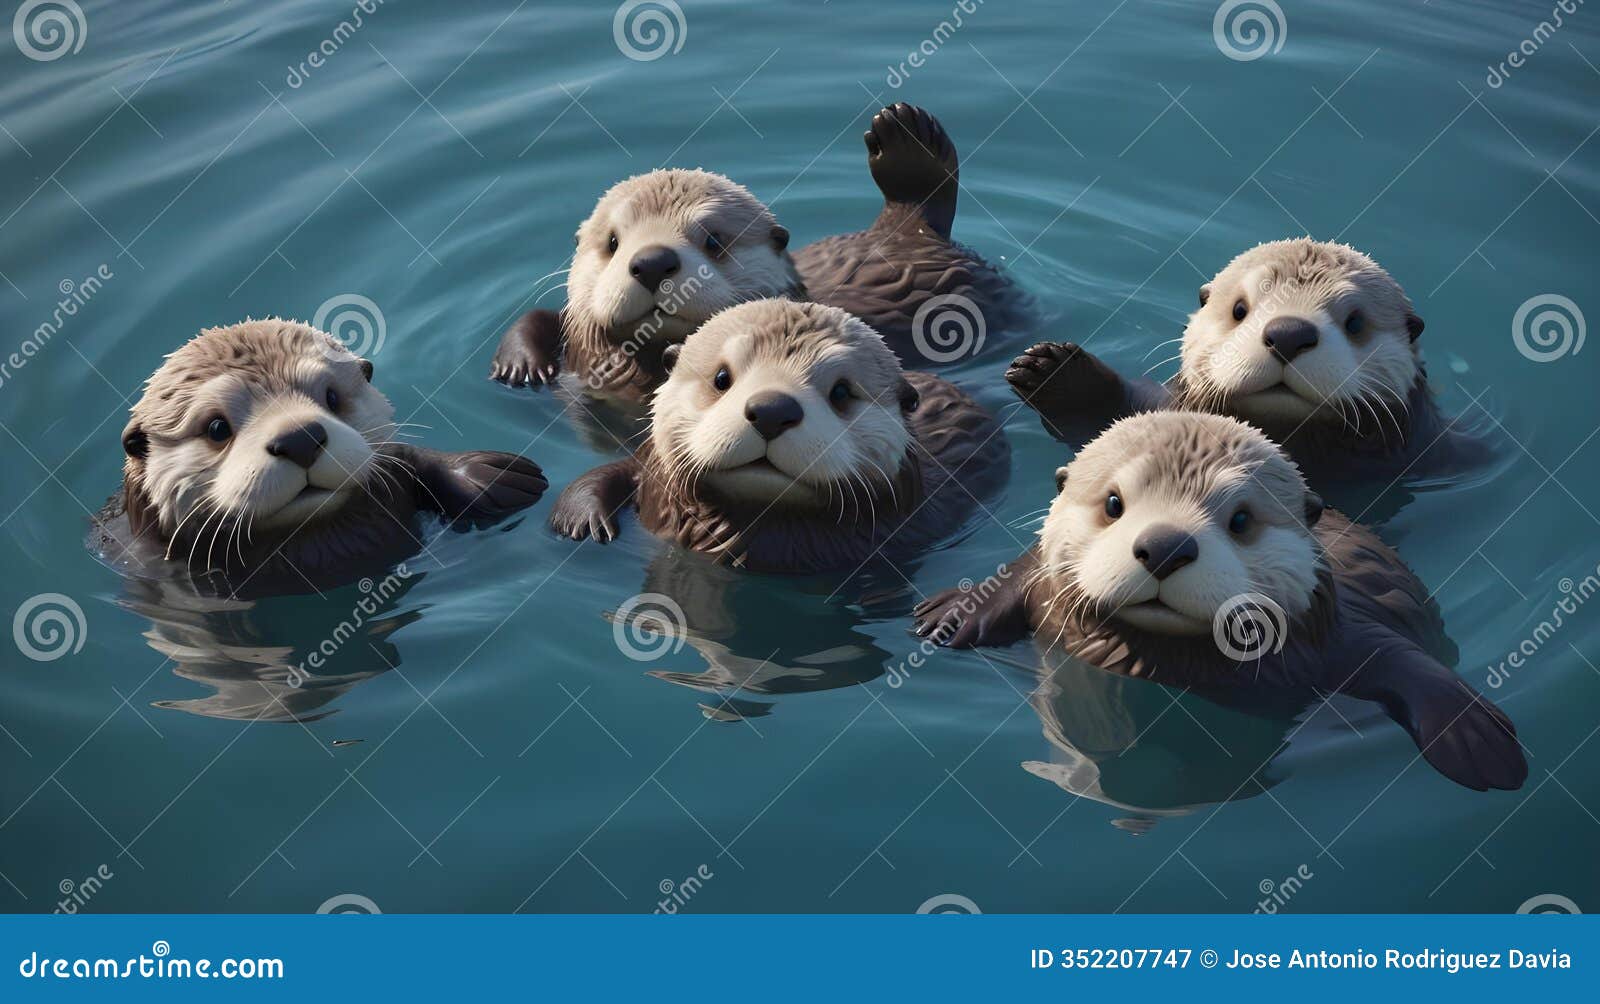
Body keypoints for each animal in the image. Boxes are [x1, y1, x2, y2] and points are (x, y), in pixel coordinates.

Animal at [489, 102, 1019, 397]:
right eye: (613, 243)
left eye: (714, 240)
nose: (652, 262)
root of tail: (911, 227)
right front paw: (520, 365)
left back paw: (906, 136)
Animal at [912, 411, 1526, 792]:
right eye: (1112, 503)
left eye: (1241, 521)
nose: (1164, 547)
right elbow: (1034, 575)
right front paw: (955, 614)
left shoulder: (1336, 640)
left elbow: (1403, 659)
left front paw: (1480, 743)